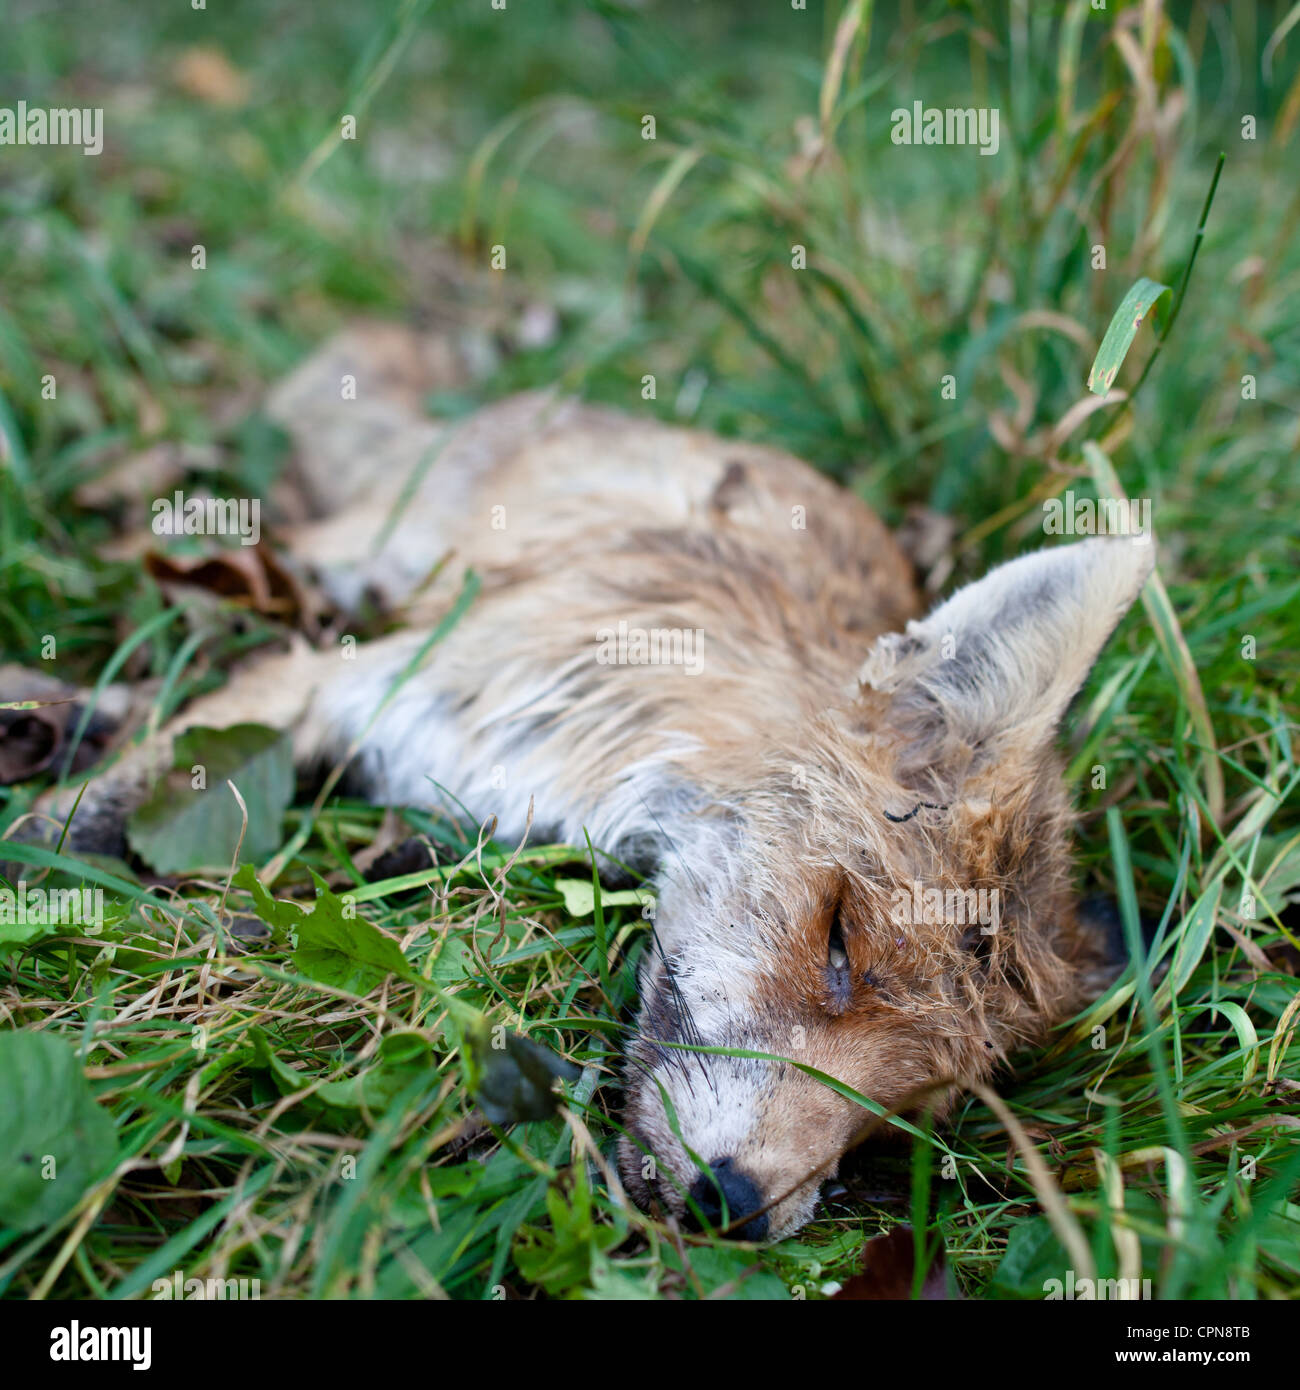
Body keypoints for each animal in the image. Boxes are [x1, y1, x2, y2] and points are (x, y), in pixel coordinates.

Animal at [27, 328, 1155, 1242]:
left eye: (904, 1111)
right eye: (839, 942)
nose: (737, 1207)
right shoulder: (353, 682)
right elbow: (112, 807)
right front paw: (52, 865)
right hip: (366, 555)